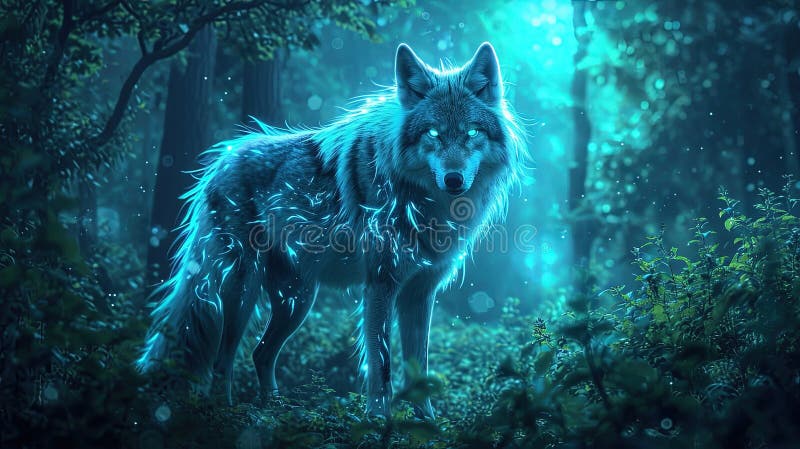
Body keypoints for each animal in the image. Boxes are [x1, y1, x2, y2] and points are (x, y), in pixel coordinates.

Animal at [138, 42, 527, 419]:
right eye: (433, 133)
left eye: (471, 133)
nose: (454, 179)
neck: (427, 205)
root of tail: (219, 161)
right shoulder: (381, 285)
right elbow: (381, 365)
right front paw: (378, 420)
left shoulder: (420, 293)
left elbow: (419, 367)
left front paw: (427, 424)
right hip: (243, 291)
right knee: (224, 359)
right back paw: (226, 413)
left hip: (297, 301)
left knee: (260, 354)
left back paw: (276, 411)